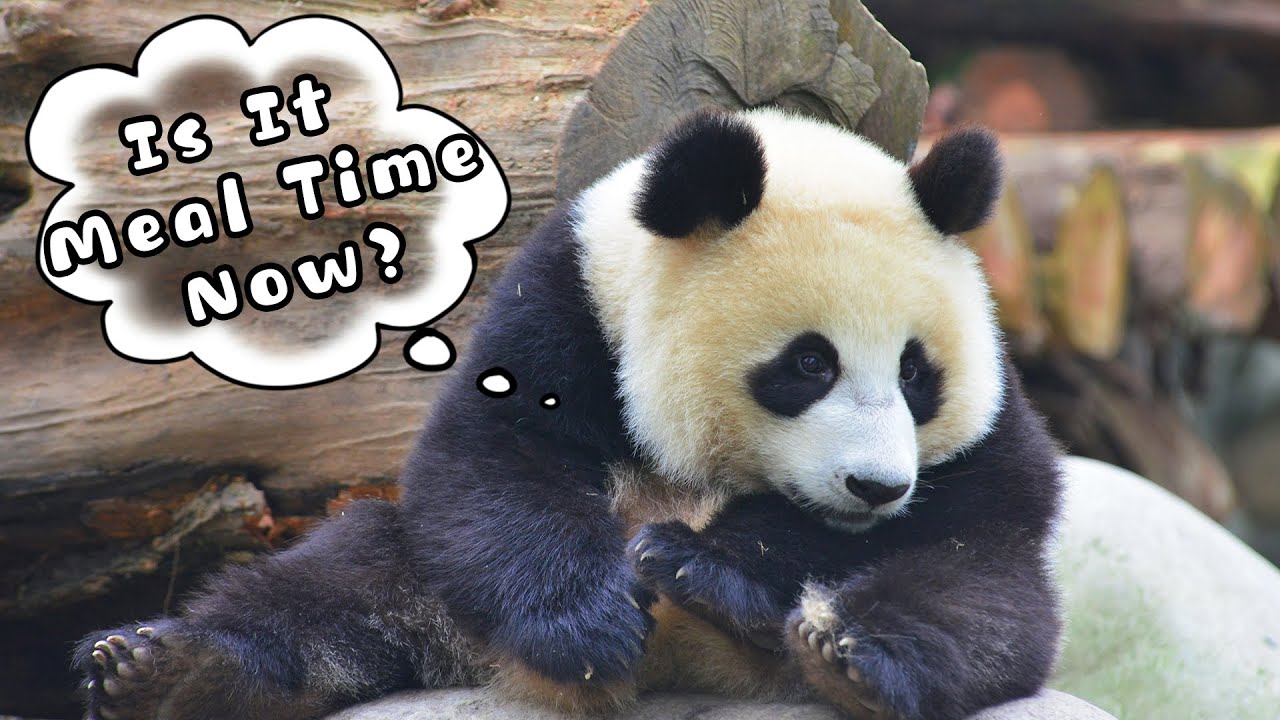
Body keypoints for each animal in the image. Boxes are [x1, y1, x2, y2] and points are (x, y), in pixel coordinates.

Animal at [76, 108, 1063, 720]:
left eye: (917, 373)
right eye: (809, 364)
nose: (877, 486)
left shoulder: (986, 439)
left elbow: (989, 499)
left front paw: (700, 564)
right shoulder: (568, 304)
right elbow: (493, 460)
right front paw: (592, 626)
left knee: (975, 602)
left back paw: (850, 655)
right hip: (428, 579)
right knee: (337, 580)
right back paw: (167, 669)